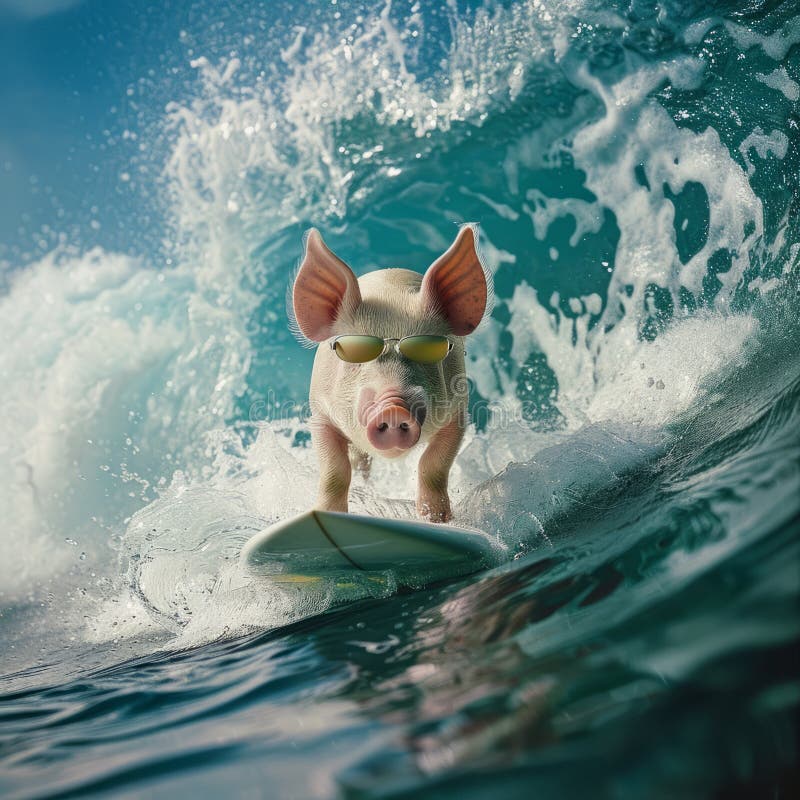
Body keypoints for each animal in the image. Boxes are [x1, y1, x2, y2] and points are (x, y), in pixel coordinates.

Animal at [290, 224, 490, 523]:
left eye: (427, 350)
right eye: (354, 352)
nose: (393, 407)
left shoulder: (457, 413)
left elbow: (434, 464)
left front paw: (436, 519)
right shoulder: (320, 414)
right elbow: (335, 471)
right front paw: (328, 514)